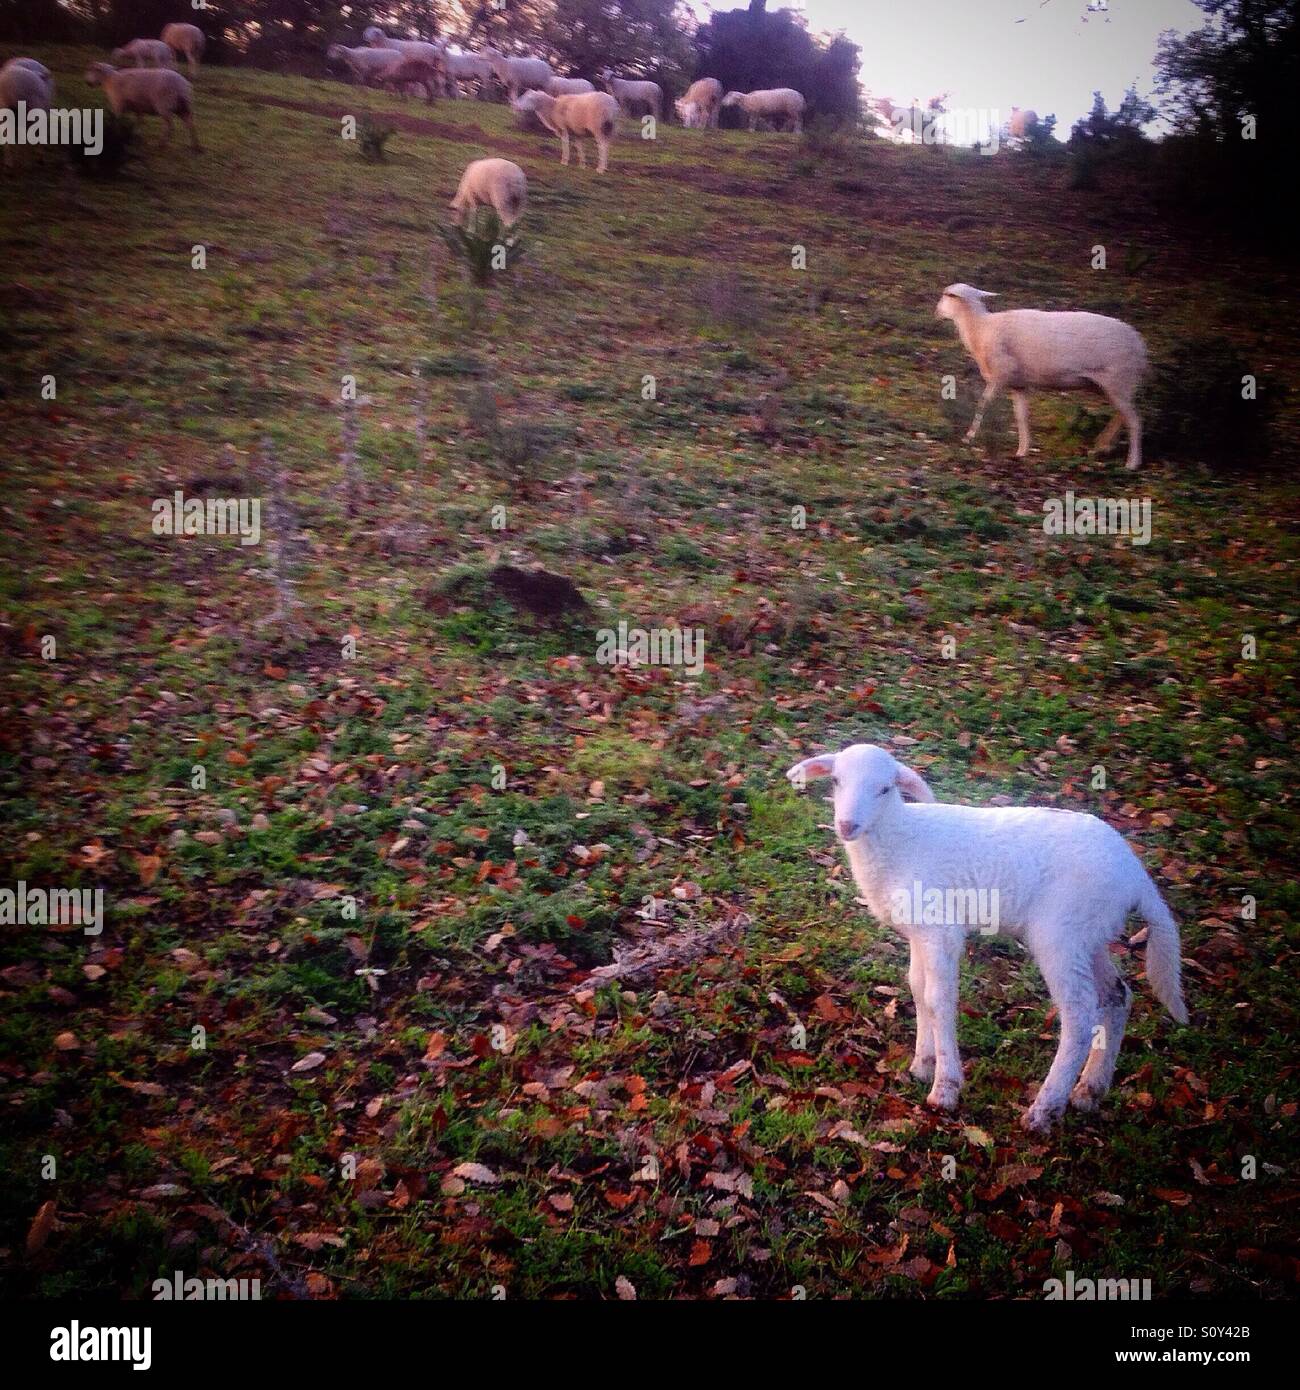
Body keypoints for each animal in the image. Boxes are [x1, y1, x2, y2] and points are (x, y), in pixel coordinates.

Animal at [786, 742, 1187, 1132]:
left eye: (885, 789)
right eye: (836, 780)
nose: (847, 825)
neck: (900, 840)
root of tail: (1136, 876)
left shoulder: (941, 928)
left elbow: (938, 999)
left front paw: (945, 1087)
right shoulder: (919, 930)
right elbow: (917, 988)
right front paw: (922, 1064)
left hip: (1061, 932)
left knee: (1079, 1012)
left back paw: (1043, 1111)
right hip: (1089, 933)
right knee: (1116, 996)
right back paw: (1090, 1091)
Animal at [935, 282, 1148, 469]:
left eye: (948, 295)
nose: (937, 311)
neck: (981, 327)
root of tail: (1139, 344)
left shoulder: (1001, 374)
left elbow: (983, 403)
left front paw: (969, 437)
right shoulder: (1019, 384)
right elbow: (1021, 416)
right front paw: (1022, 451)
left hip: (1118, 379)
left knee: (1134, 420)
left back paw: (1131, 463)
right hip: (1108, 384)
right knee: (1122, 415)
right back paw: (1101, 445)